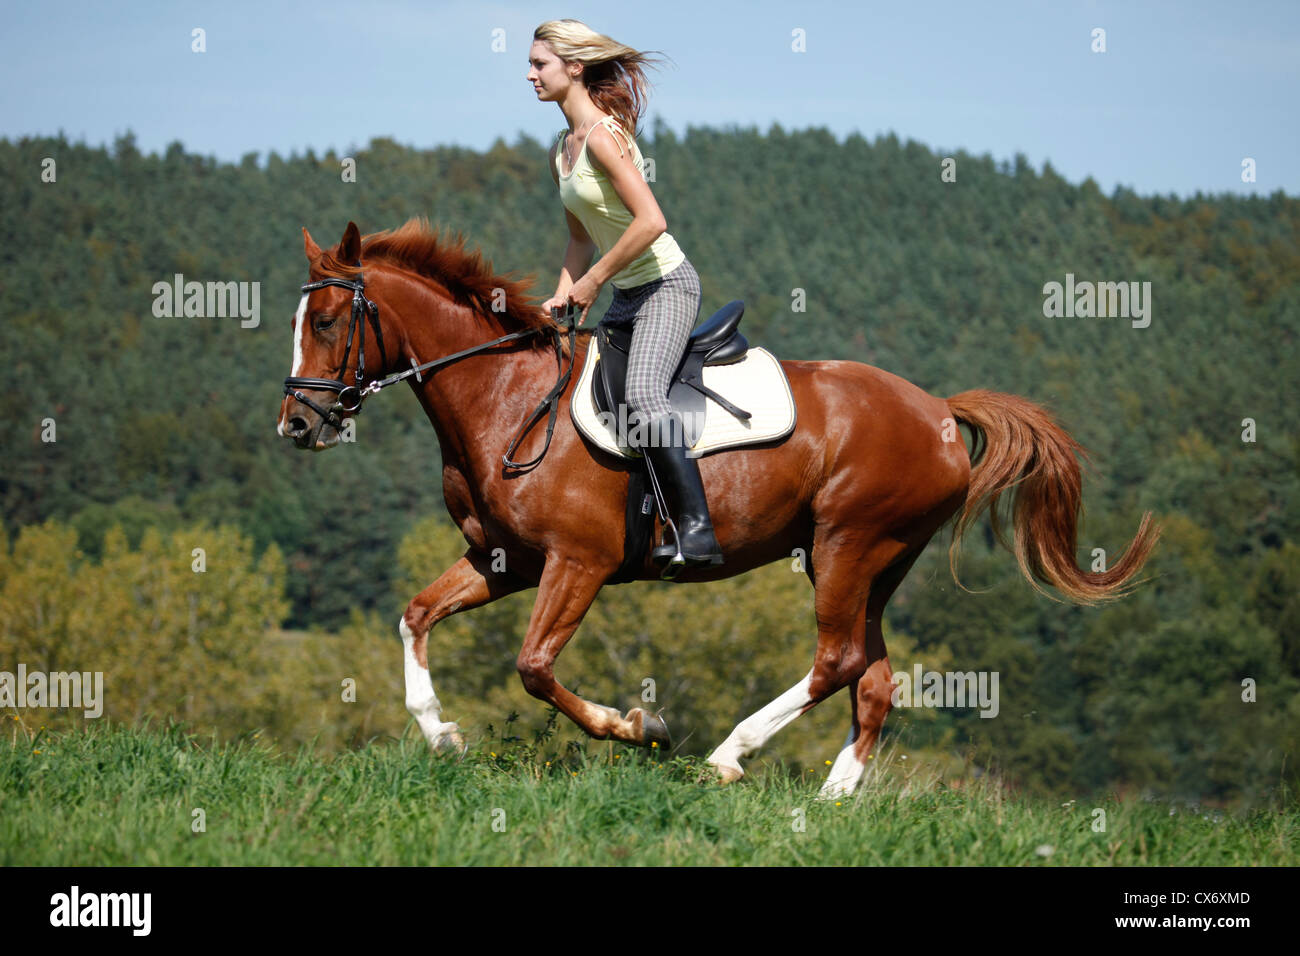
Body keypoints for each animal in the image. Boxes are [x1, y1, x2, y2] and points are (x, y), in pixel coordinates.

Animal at [276, 219, 1159, 797]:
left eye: (327, 321)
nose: (297, 425)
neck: (506, 397)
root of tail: (938, 410)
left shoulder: (578, 562)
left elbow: (533, 667)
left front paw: (639, 727)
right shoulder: (508, 562)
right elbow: (416, 616)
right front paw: (441, 733)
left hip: (849, 543)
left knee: (836, 661)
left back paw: (730, 755)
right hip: (871, 561)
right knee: (871, 678)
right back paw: (831, 801)